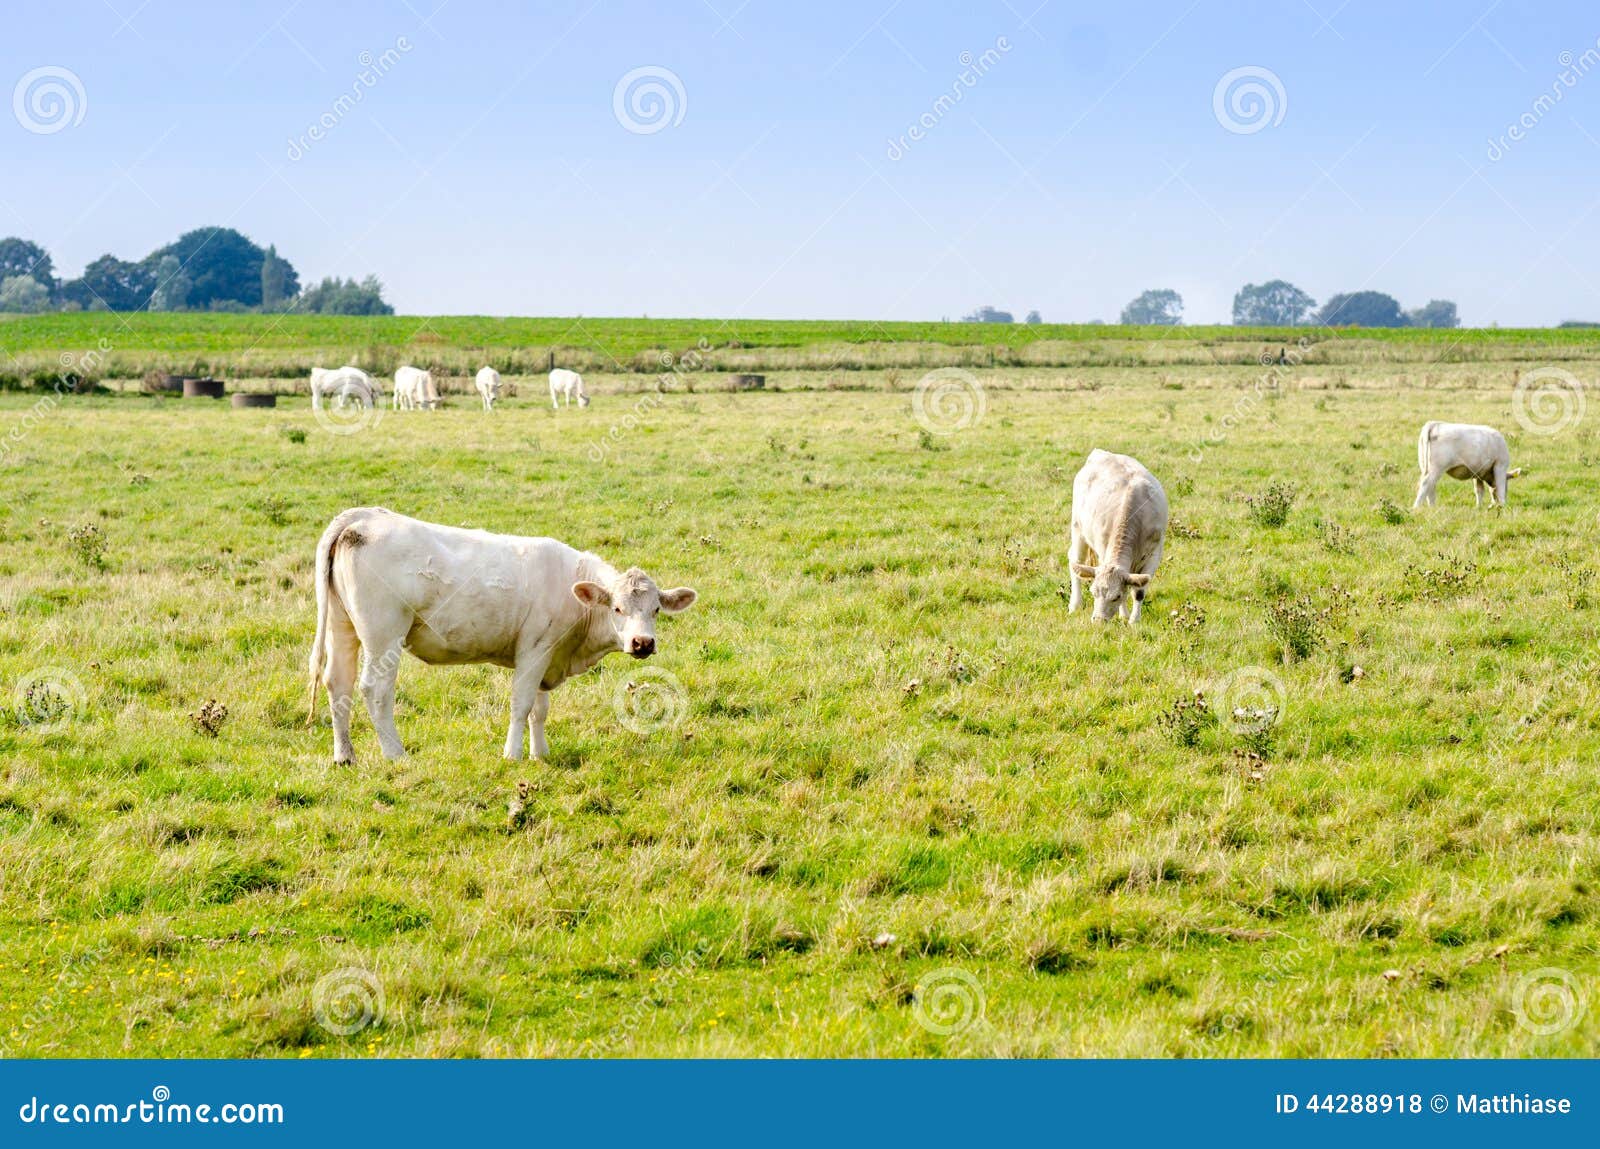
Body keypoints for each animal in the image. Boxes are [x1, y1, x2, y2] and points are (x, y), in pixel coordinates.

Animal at [306, 507, 697, 763]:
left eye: (656, 610)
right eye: (616, 608)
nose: (642, 643)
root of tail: (363, 517)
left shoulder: (548, 653)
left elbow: (539, 710)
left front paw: (541, 754)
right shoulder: (534, 650)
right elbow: (521, 704)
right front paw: (513, 754)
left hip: (342, 626)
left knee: (338, 683)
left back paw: (344, 756)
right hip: (383, 635)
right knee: (375, 690)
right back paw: (395, 754)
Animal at [1068, 449, 1169, 625]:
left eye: (1116, 596)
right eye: (1093, 592)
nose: (1098, 620)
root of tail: (1100, 453)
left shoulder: (1154, 555)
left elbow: (1138, 591)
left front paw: (1133, 620)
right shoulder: (1103, 551)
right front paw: (1125, 616)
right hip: (1078, 528)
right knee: (1075, 561)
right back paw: (1075, 604)